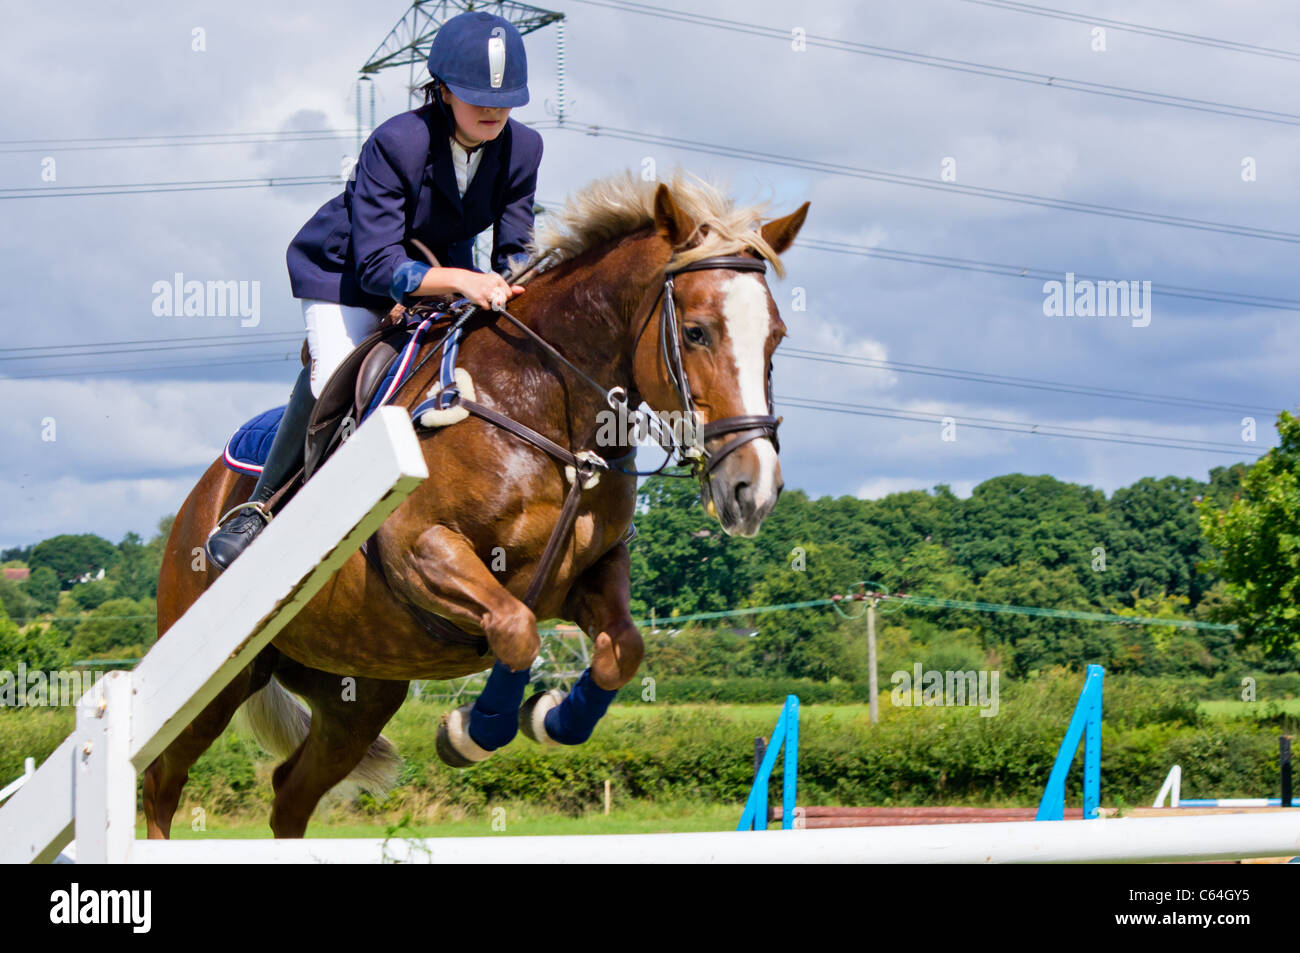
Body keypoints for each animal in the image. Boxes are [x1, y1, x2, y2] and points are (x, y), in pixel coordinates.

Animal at [144, 171, 809, 838]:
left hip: (358, 690)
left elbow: (622, 649)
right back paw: (240, 535)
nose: (753, 491)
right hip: (212, 678)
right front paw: (475, 731)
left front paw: (551, 717)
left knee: (290, 793)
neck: (545, 406)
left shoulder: (591, 571)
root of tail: (200, 500)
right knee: (162, 782)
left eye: (776, 337)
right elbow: (516, 630)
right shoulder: (424, 551)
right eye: (696, 331)